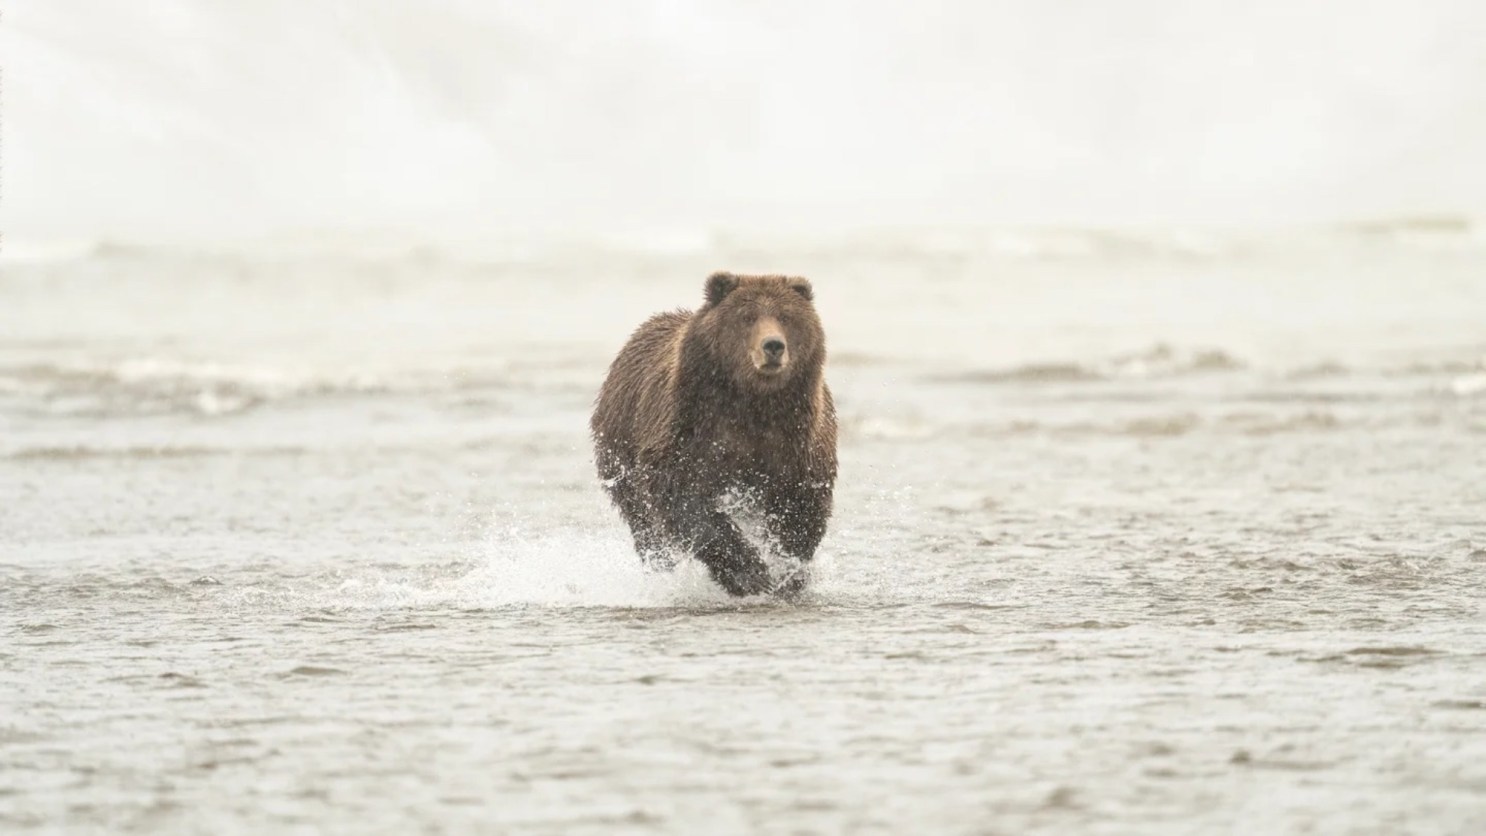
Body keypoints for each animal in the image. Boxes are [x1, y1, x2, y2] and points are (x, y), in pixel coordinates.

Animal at [590, 272, 838, 597]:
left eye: (786, 316)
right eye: (747, 317)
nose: (773, 345)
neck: (754, 403)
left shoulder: (797, 440)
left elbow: (801, 506)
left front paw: (787, 572)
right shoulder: (691, 427)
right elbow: (683, 495)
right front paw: (750, 573)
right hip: (620, 448)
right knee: (644, 523)